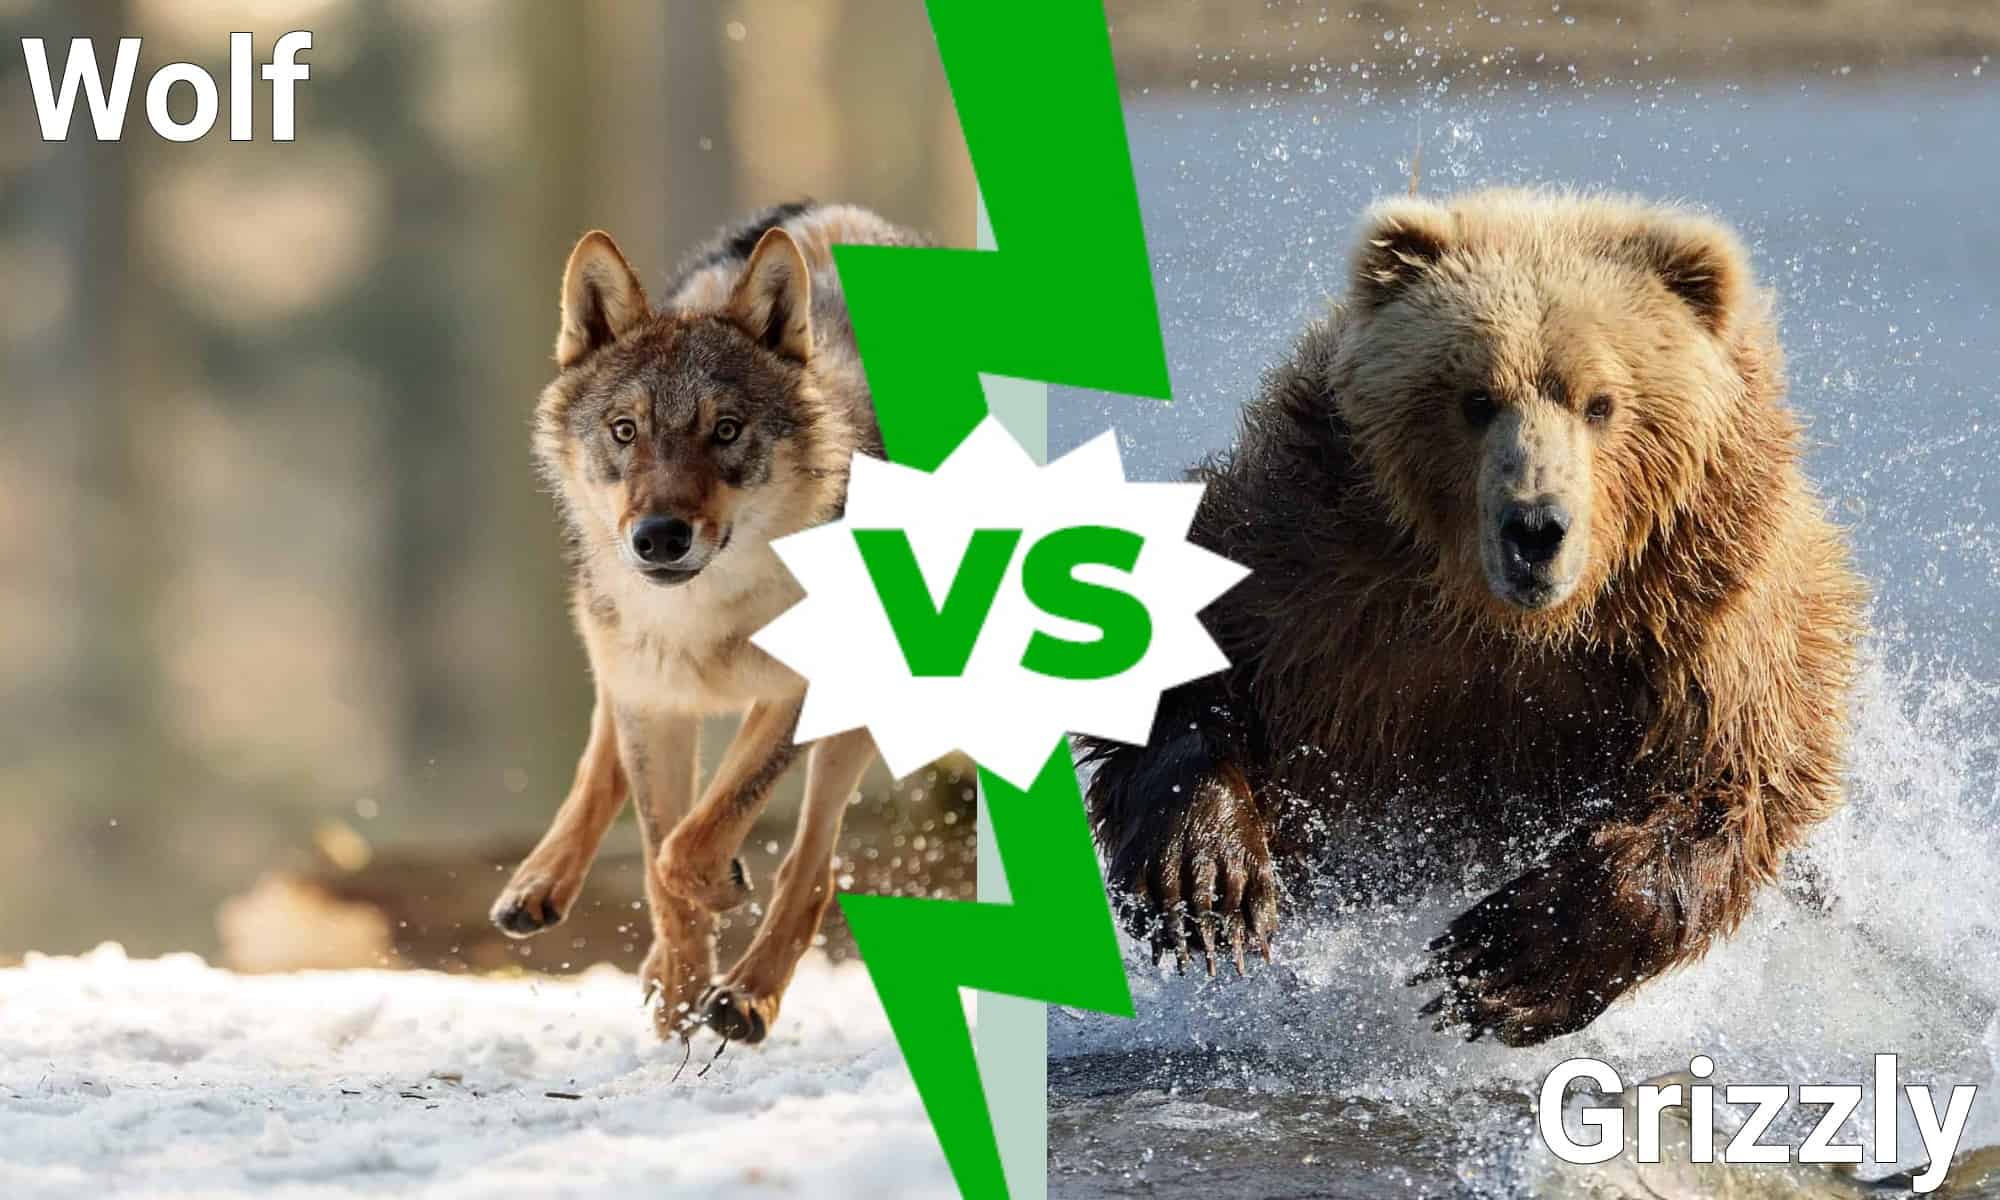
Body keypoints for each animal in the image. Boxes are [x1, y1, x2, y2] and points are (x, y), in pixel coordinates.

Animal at [489, 202, 922, 1044]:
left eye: (726, 430)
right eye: (625, 430)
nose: (659, 537)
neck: (702, 621)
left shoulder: (799, 695)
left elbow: (694, 843)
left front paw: (717, 917)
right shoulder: (653, 700)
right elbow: (664, 855)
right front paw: (681, 993)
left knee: (813, 868)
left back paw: (748, 997)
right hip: (622, 660)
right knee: (604, 756)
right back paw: (542, 887)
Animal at [1082, 188, 1865, 1046]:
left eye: (1602, 402)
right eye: (1476, 398)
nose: (1536, 527)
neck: (1508, 620)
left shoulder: (1703, 616)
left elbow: (1725, 783)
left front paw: (1499, 963)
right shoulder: (1319, 555)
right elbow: (1194, 645)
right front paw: (1208, 882)